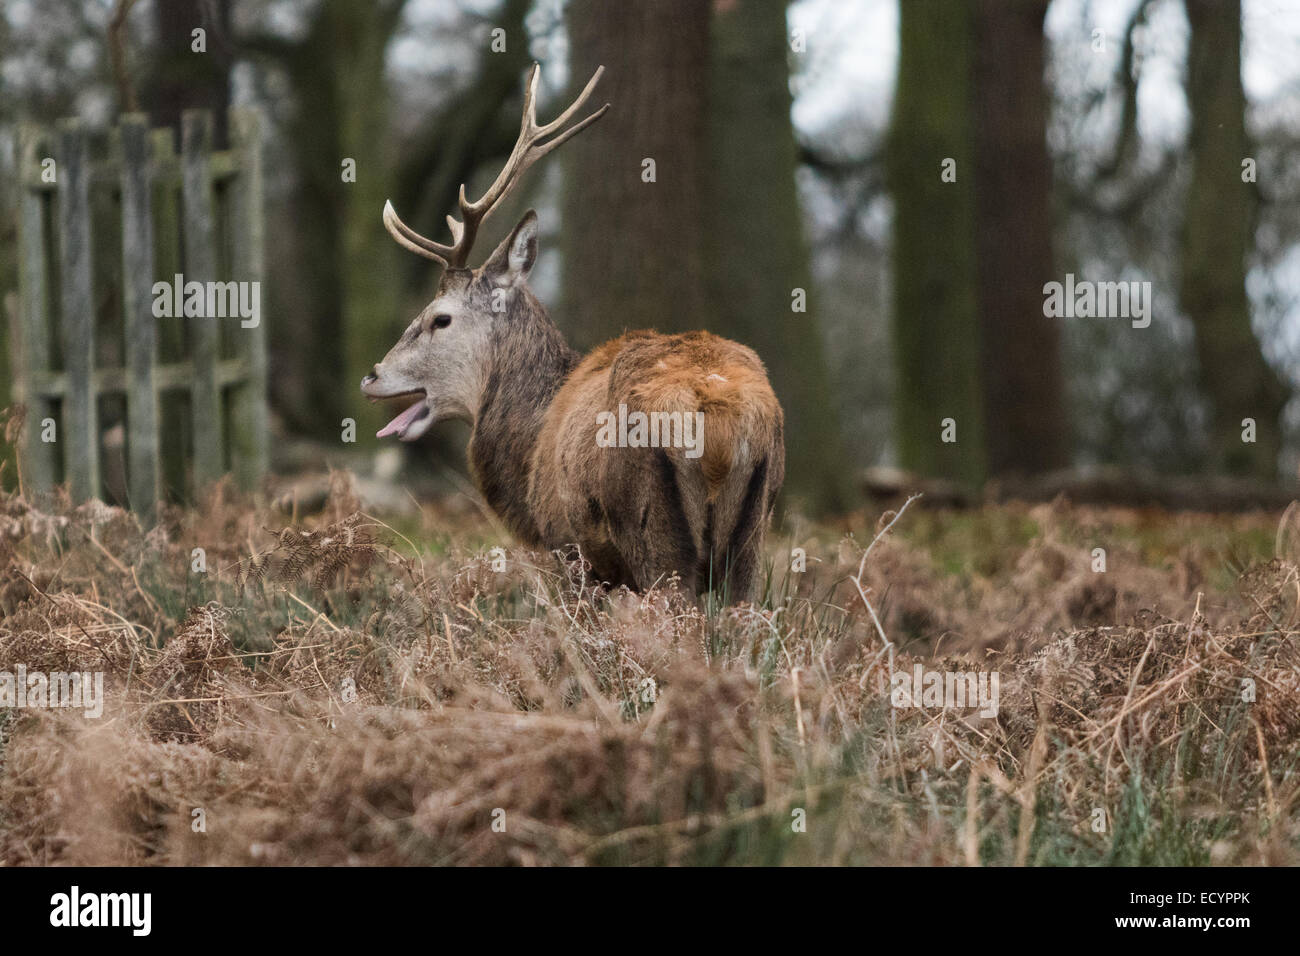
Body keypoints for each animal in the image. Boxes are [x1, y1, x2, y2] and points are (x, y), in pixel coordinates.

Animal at [361, 65, 785, 601]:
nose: (372, 375)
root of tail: (723, 422)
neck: (529, 442)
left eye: (440, 318)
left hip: (652, 531)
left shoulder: (564, 549)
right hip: (753, 535)